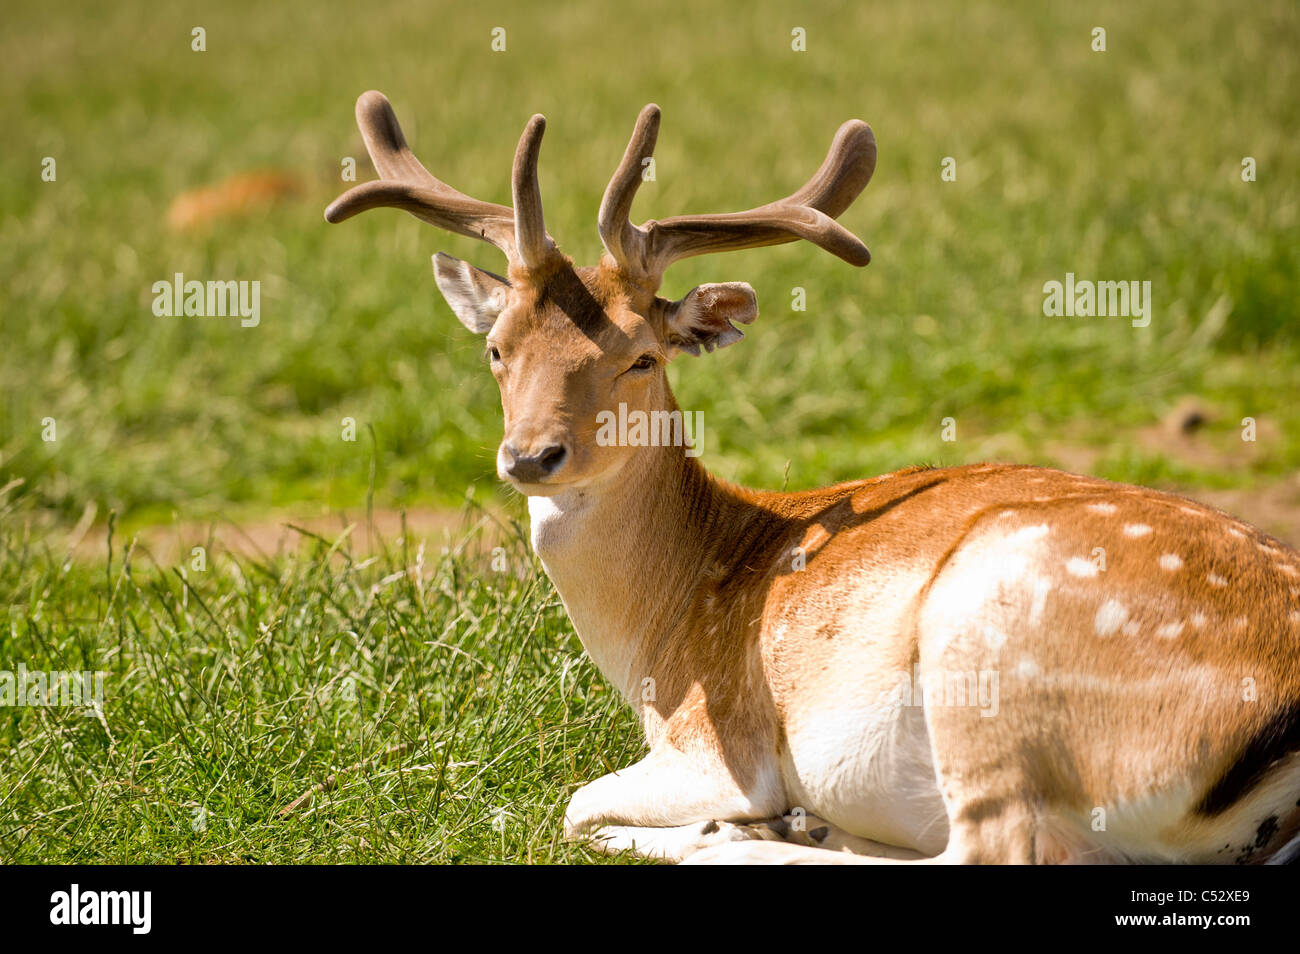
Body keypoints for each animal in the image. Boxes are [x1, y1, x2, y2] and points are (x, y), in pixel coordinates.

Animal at [326, 90, 1300, 864]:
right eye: (497, 348)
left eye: (642, 356)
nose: (531, 456)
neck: (657, 643)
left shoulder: (717, 740)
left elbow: (571, 805)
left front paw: (737, 824)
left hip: (991, 651)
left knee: (987, 851)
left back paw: (760, 835)